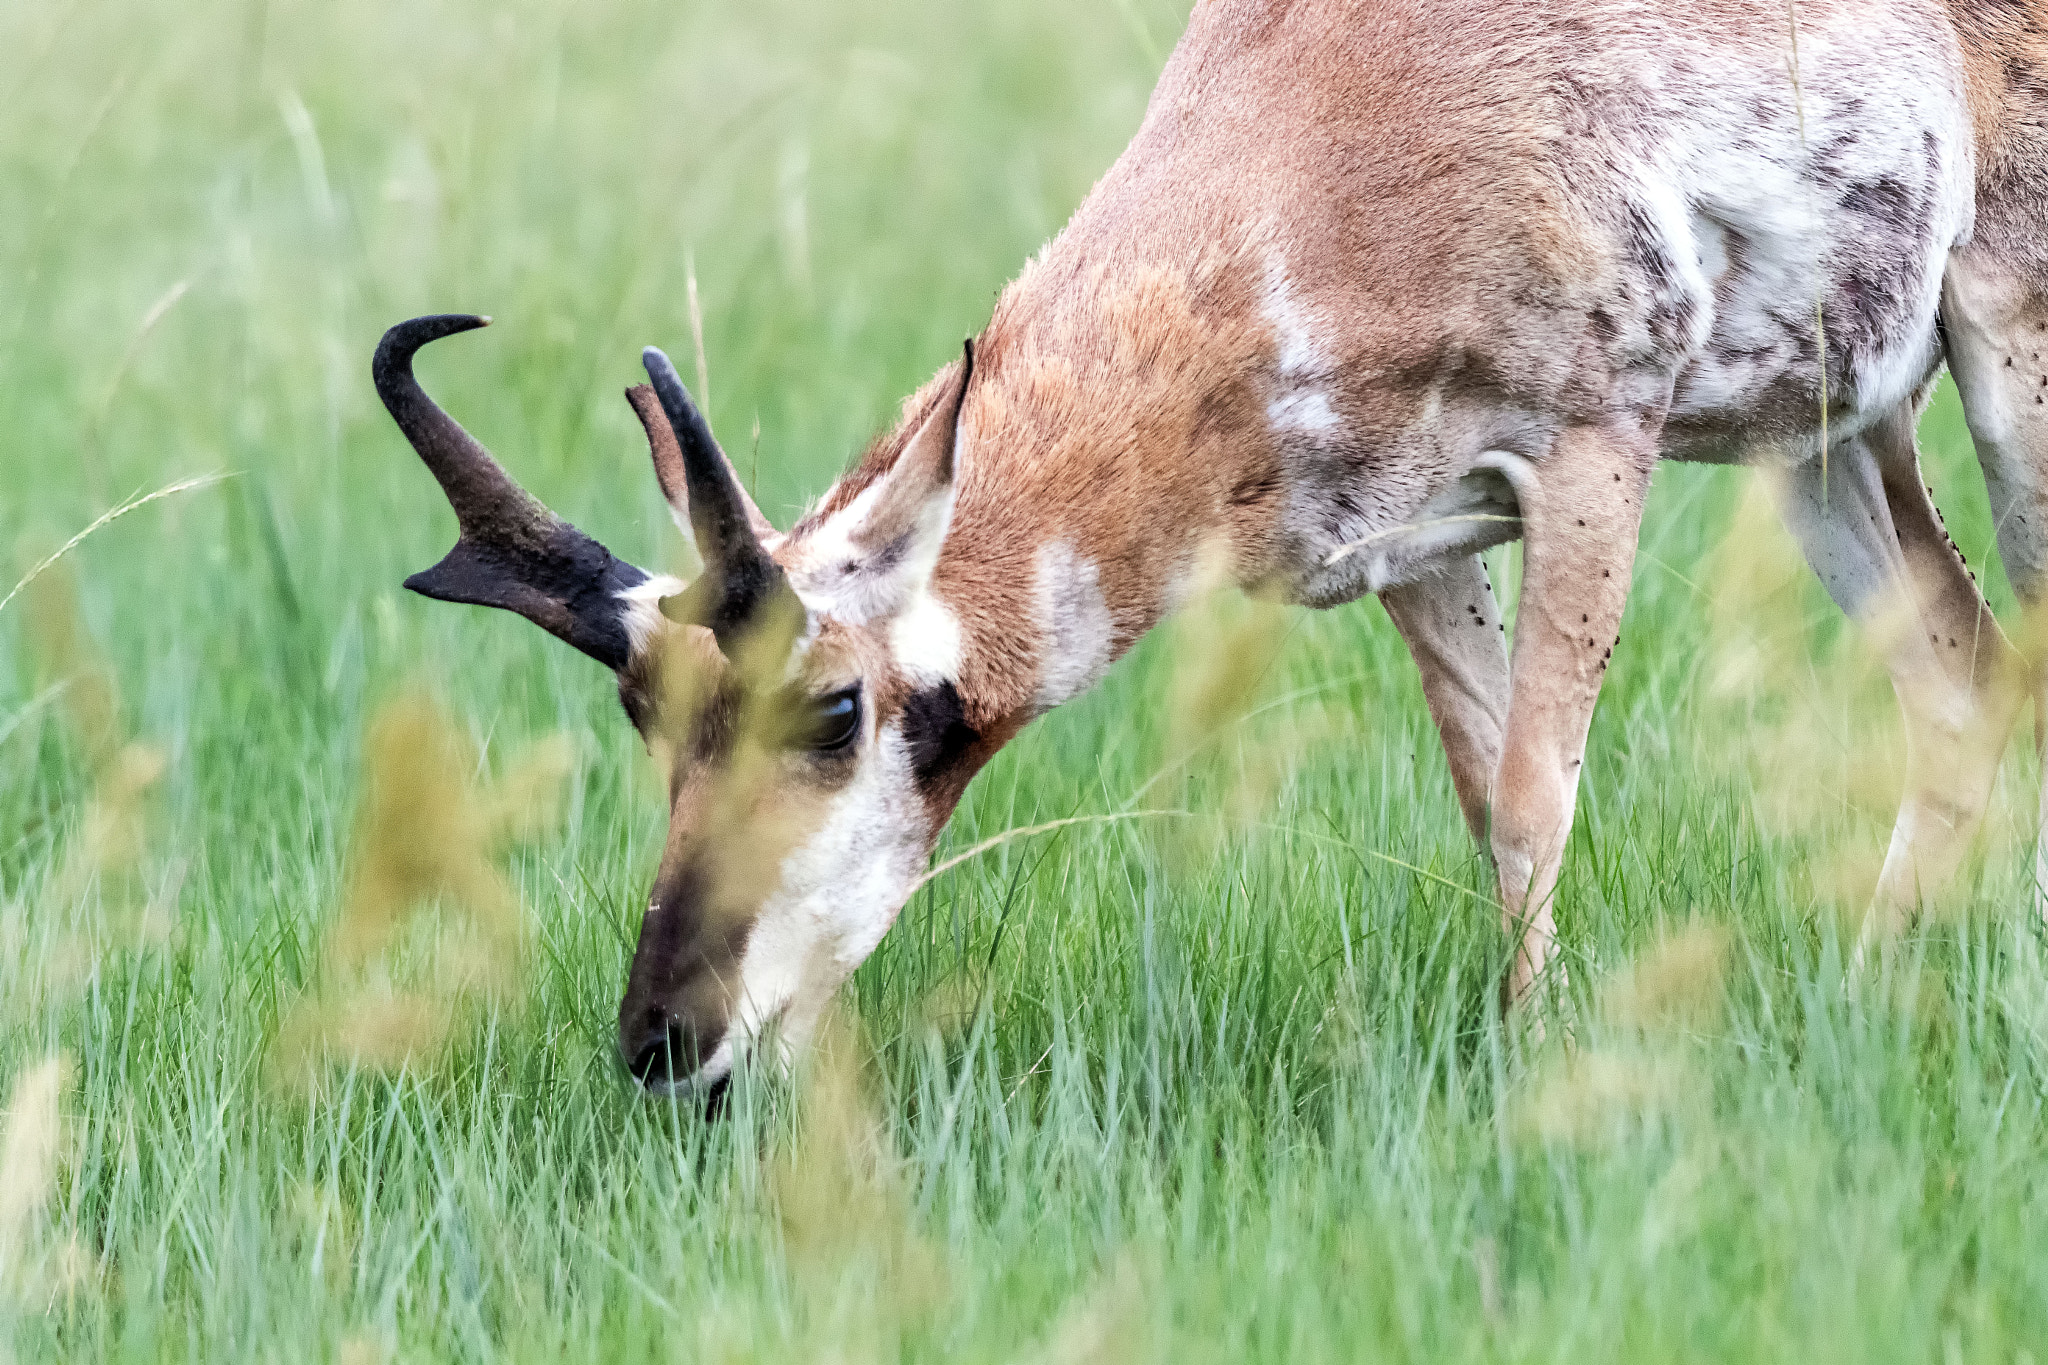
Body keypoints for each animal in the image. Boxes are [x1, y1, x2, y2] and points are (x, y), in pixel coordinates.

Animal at [379, 0, 2048, 1099]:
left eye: (838, 706)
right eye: (642, 711)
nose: (663, 1043)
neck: (1334, 116)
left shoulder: (1592, 451)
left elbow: (1533, 792)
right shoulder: (1421, 546)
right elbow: (1487, 802)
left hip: (2001, 360)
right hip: (1821, 443)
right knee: (1961, 675)